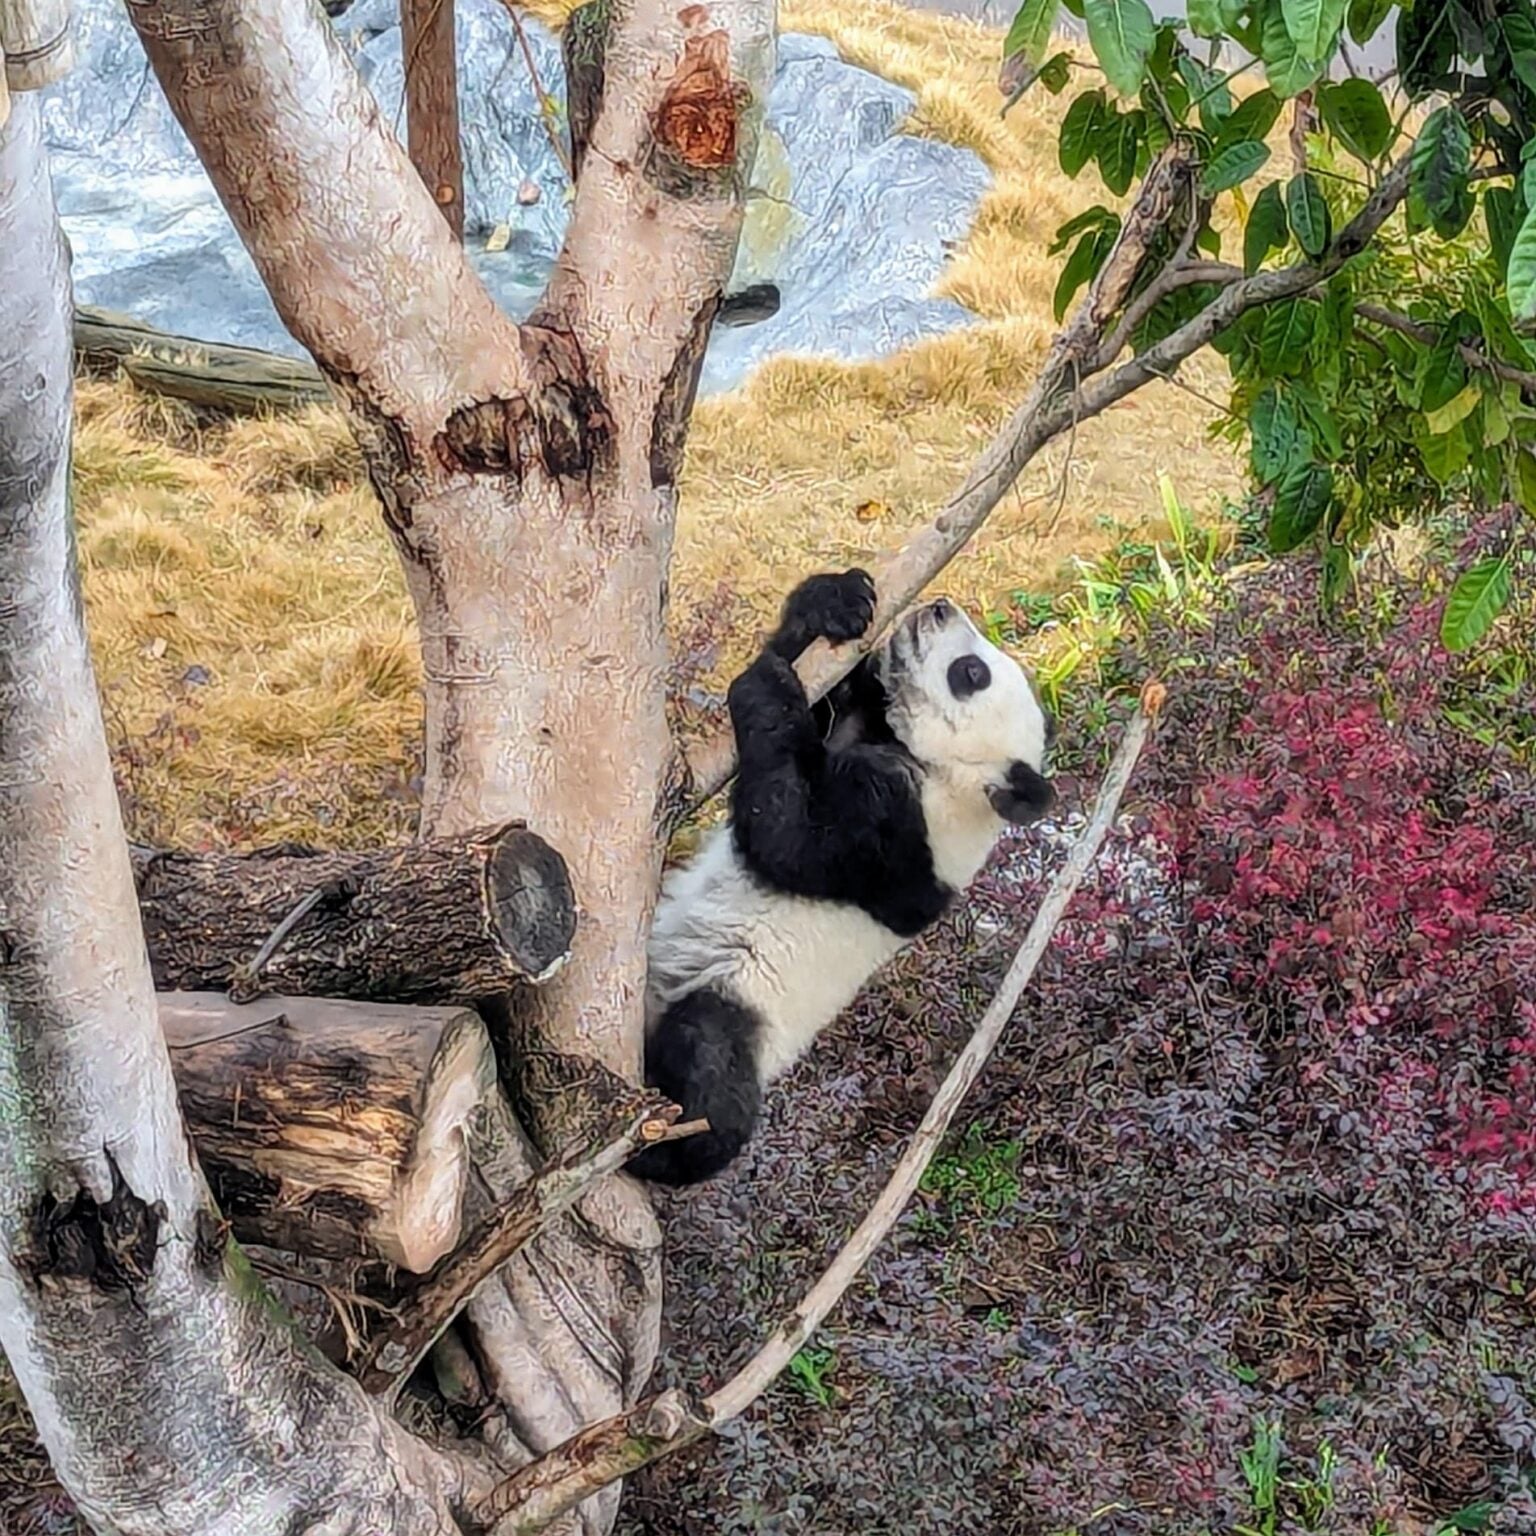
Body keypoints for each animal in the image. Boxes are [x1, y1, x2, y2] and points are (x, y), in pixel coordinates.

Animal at [629, 568, 1057, 1187]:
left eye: (972, 674)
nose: (940, 609)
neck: (954, 779)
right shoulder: (867, 739)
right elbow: (825, 703)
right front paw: (837, 604)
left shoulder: (900, 839)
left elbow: (789, 840)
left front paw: (766, 686)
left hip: (748, 1003)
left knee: (712, 1070)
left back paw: (661, 1146)